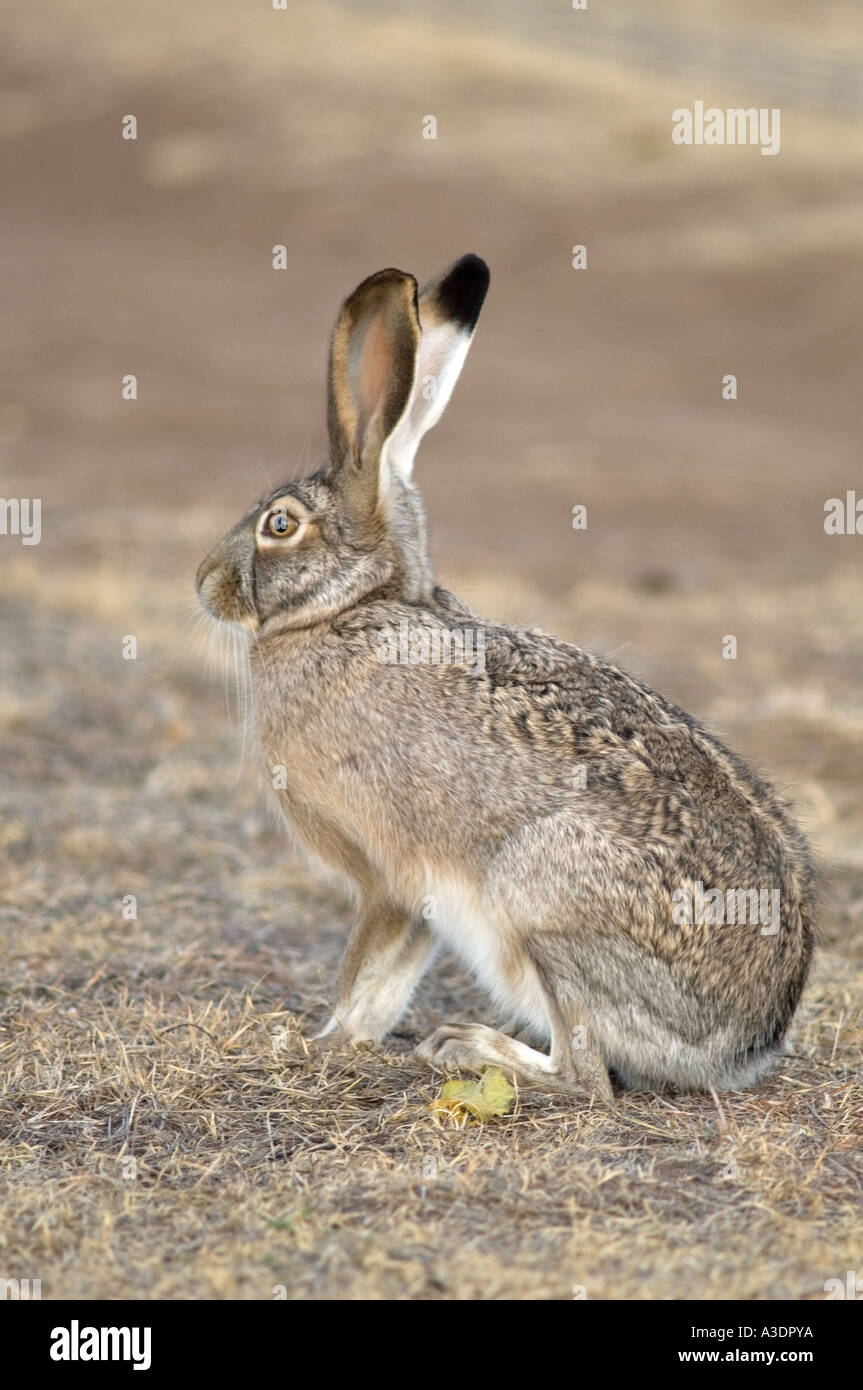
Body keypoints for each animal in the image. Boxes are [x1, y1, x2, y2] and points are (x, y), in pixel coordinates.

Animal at [196, 254, 815, 1101]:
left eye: (279, 525)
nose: (203, 584)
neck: (351, 607)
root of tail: (741, 1043)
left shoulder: (385, 875)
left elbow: (364, 969)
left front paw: (320, 1041)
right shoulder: (422, 902)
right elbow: (393, 977)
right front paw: (342, 1041)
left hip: (540, 901)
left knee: (587, 1078)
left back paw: (468, 1049)